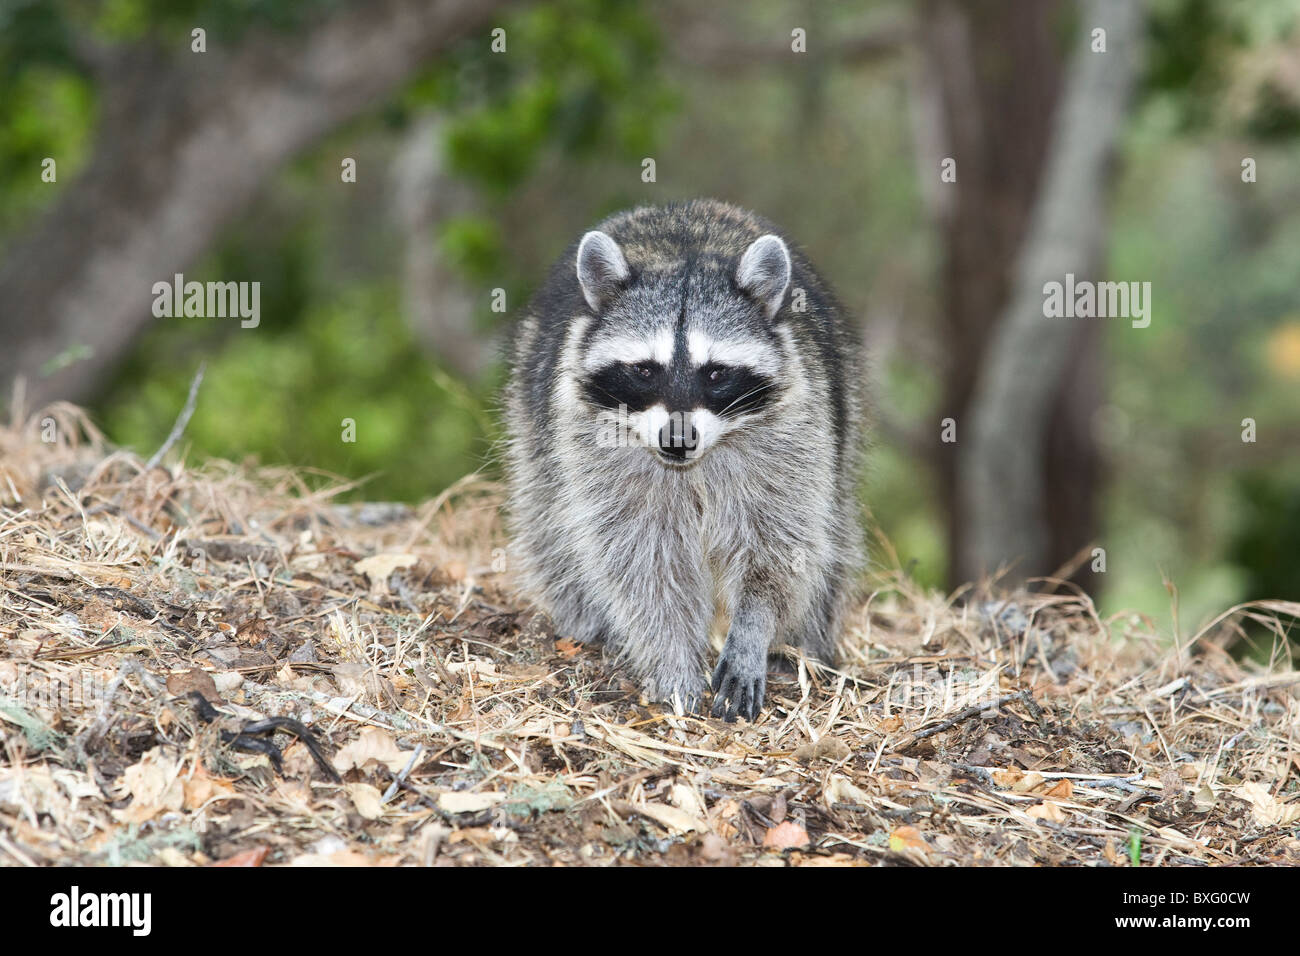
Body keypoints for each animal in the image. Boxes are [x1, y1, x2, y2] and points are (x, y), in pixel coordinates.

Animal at [503, 199, 864, 721]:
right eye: (643, 370)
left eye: (715, 373)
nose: (677, 441)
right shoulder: (593, 442)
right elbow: (641, 558)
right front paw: (671, 658)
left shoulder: (794, 427)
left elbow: (779, 542)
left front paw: (753, 628)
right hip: (535, 415)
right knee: (550, 522)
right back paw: (585, 624)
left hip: (839, 411)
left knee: (830, 536)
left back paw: (802, 645)